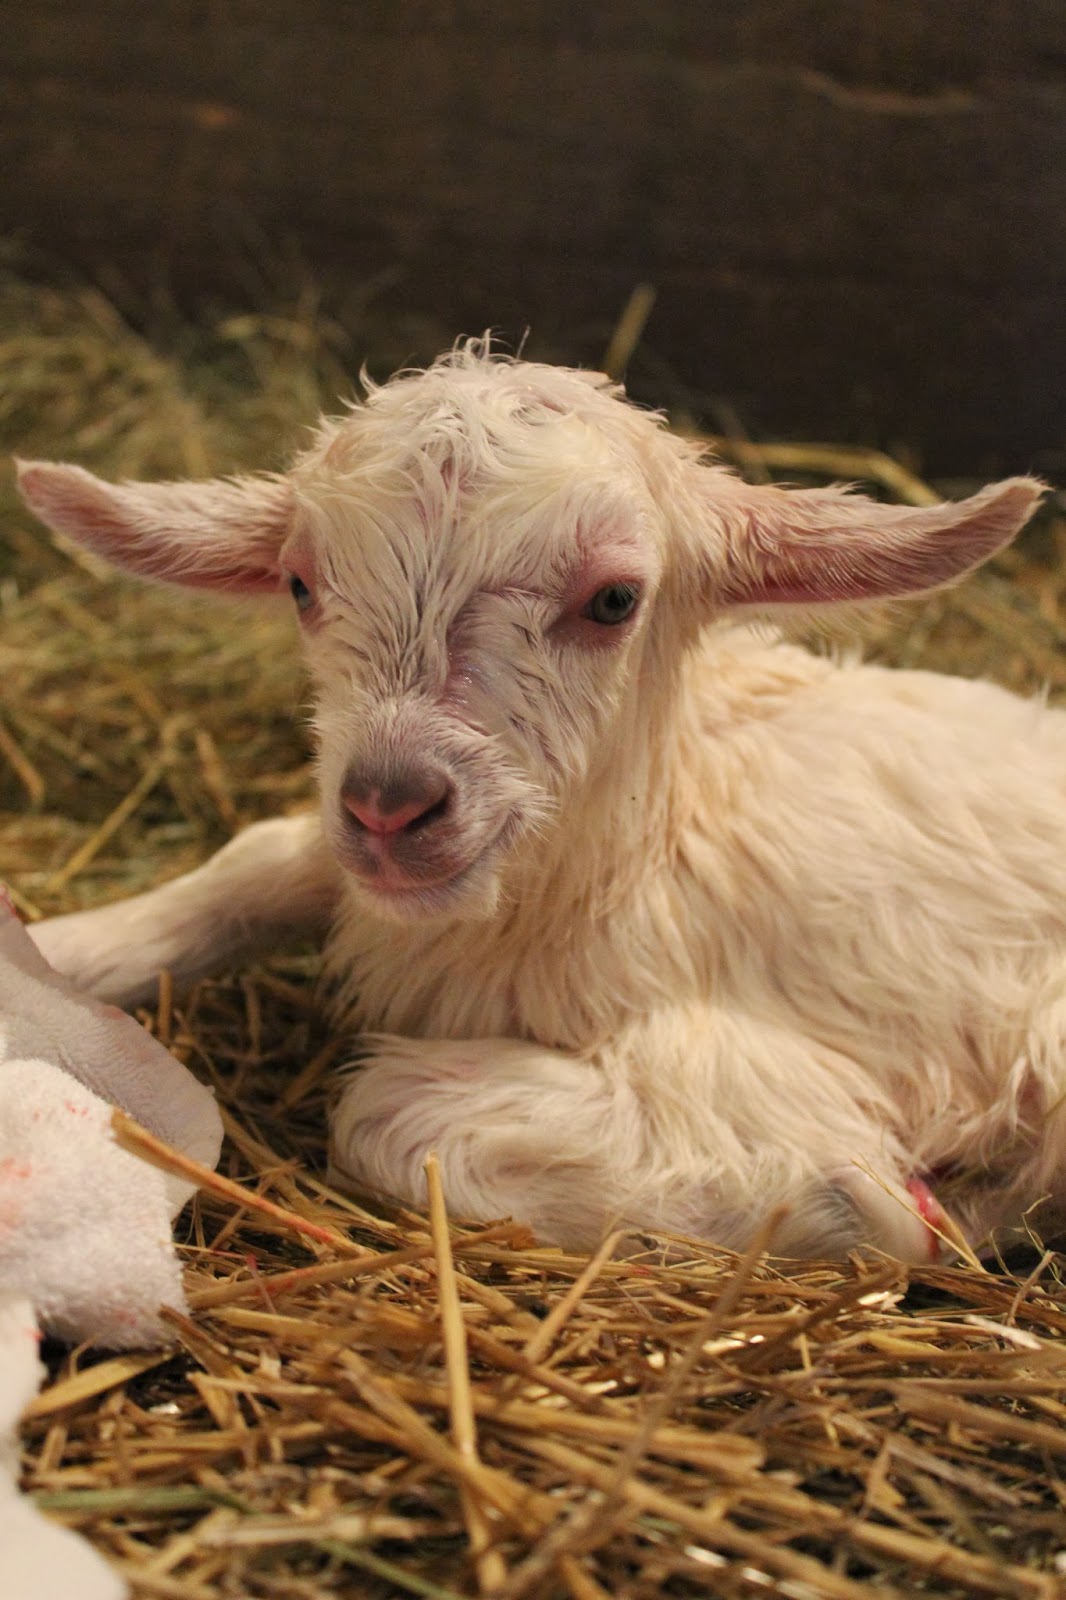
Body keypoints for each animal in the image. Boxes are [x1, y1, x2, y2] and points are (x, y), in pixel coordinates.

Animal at [16, 344, 1059, 1261]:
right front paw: (53, 953)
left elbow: (382, 1111)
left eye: (615, 600)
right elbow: (254, 863)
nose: (389, 807)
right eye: (302, 585)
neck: (645, 858)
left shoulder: (768, 1061)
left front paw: (859, 1206)